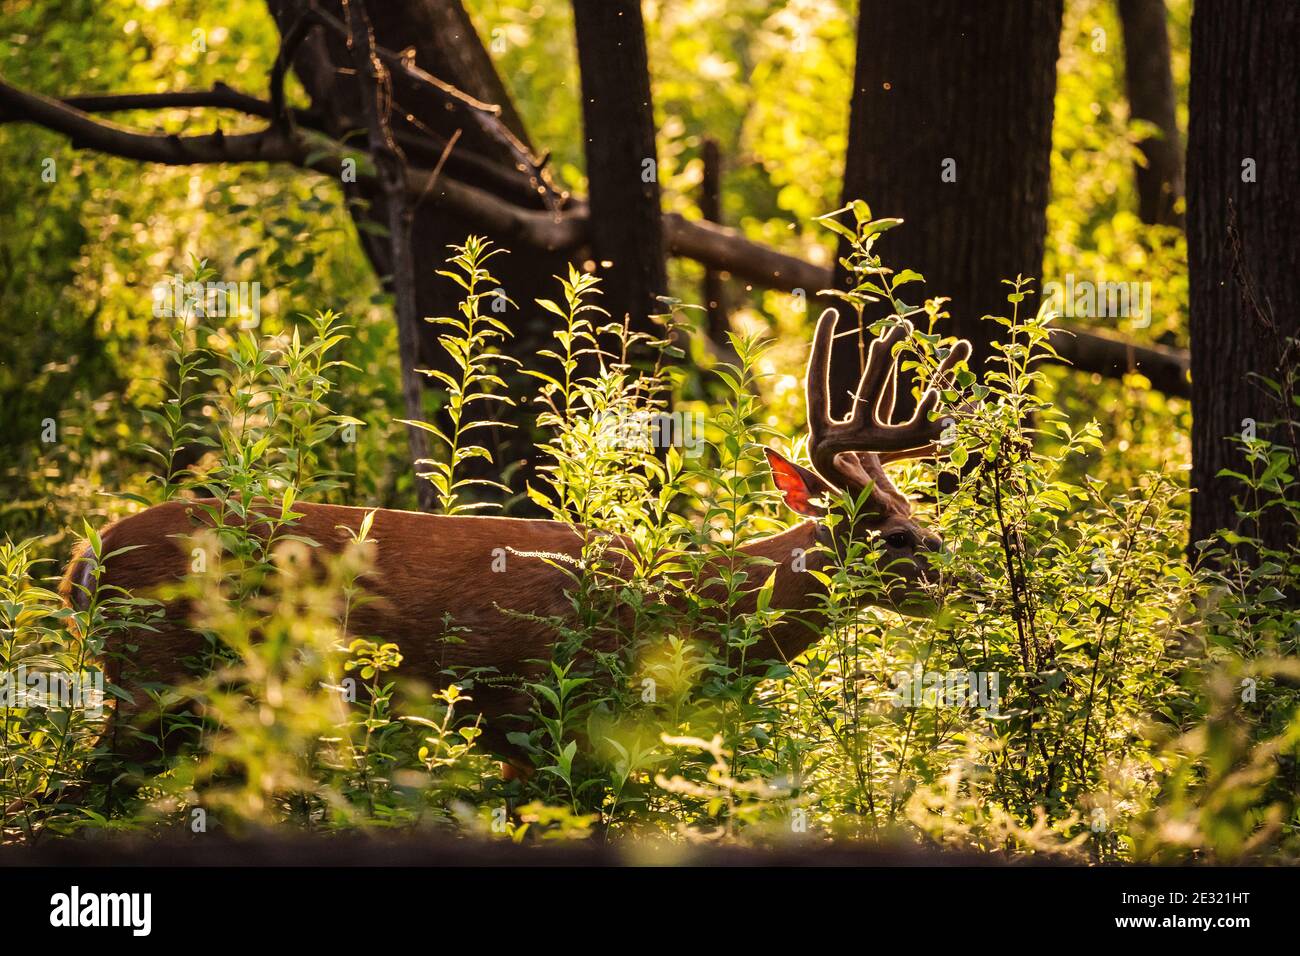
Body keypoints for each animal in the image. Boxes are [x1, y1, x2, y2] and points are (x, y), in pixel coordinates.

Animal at [59, 309, 971, 775]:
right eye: (897, 534)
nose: (960, 581)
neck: (686, 606)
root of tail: (83, 562)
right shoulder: (551, 713)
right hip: (154, 678)